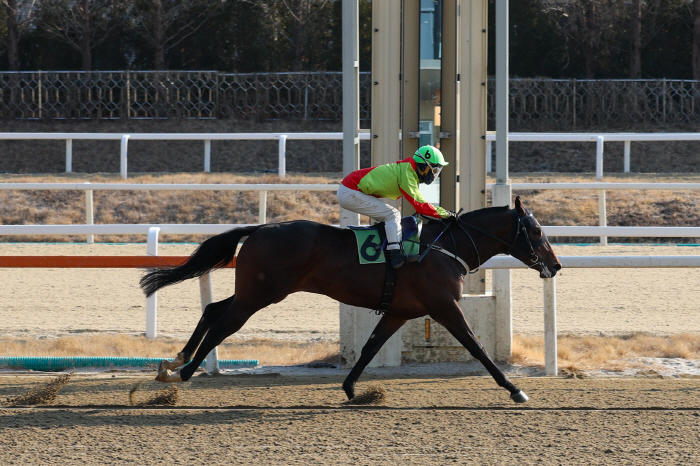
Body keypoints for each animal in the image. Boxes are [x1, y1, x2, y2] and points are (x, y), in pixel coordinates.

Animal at [140, 196, 561, 403]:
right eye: (536, 231)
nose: (556, 265)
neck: (446, 247)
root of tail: (259, 228)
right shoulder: (444, 306)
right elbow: (476, 347)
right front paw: (515, 389)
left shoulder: (400, 311)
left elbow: (371, 347)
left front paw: (352, 389)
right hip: (261, 294)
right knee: (223, 325)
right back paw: (182, 372)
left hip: (256, 291)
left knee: (214, 310)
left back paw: (174, 362)